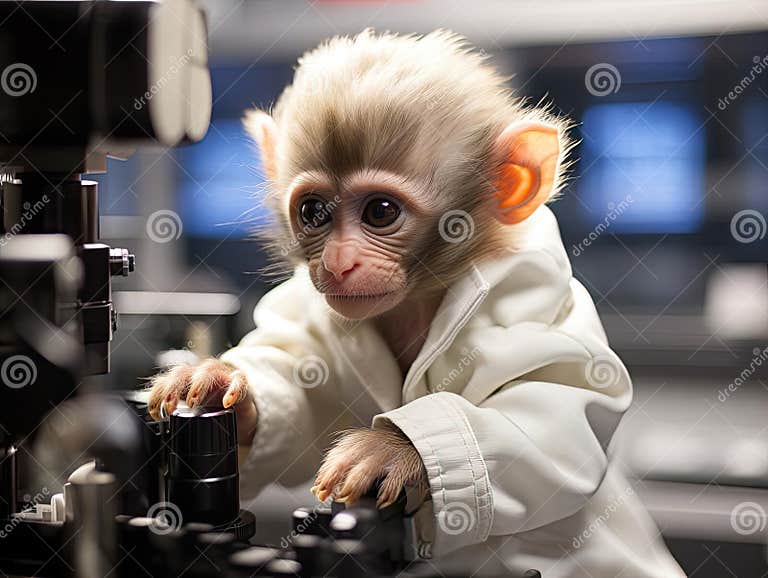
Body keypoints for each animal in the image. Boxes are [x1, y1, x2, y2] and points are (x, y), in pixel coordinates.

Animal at [148, 30, 684, 577]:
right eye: (314, 212)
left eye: (381, 211)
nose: (338, 262)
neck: (420, 295)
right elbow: (299, 385)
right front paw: (217, 381)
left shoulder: (522, 298)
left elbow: (557, 406)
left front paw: (392, 449)